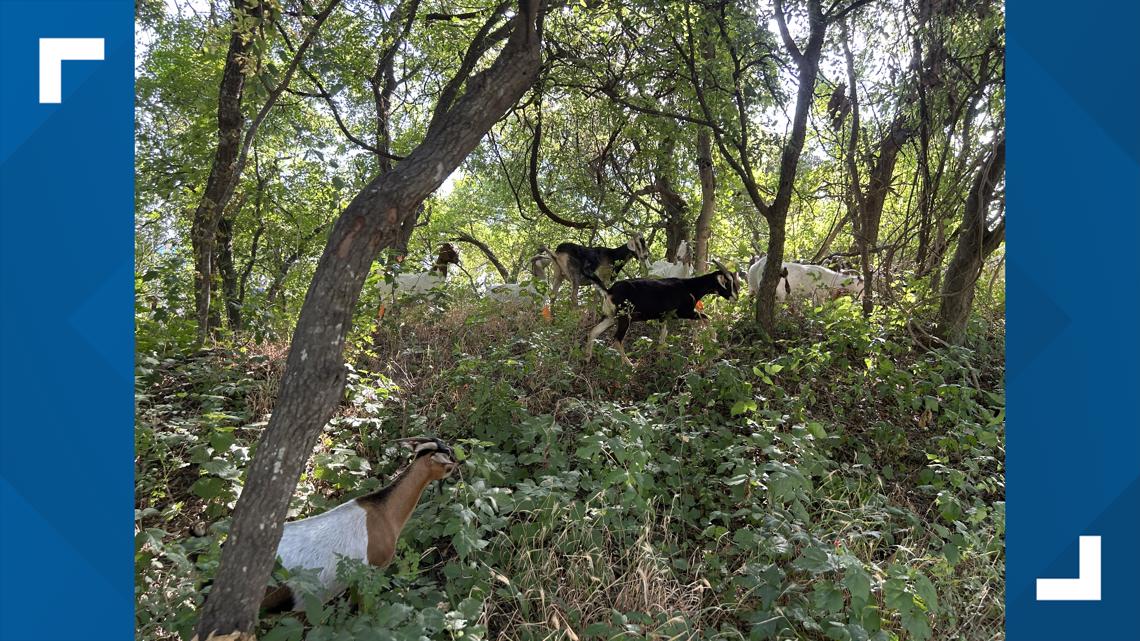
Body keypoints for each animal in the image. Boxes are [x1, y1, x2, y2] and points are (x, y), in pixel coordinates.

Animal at [260, 437, 458, 613]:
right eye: (448, 457)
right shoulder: (373, 571)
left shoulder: (355, 578)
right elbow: (365, 610)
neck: (385, 513)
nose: (458, 464)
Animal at [585, 259, 740, 365]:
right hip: (624, 317)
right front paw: (714, 341)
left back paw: (587, 357)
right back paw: (629, 364)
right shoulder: (684, 312)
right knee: (617, 339)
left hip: (610, 317)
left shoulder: (664, 317)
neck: (690, 287)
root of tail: (609, 291)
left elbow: (662, 337)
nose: (735, 297)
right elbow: (706, 317)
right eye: (728, 282)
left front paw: (661, 359)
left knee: (593, 331)